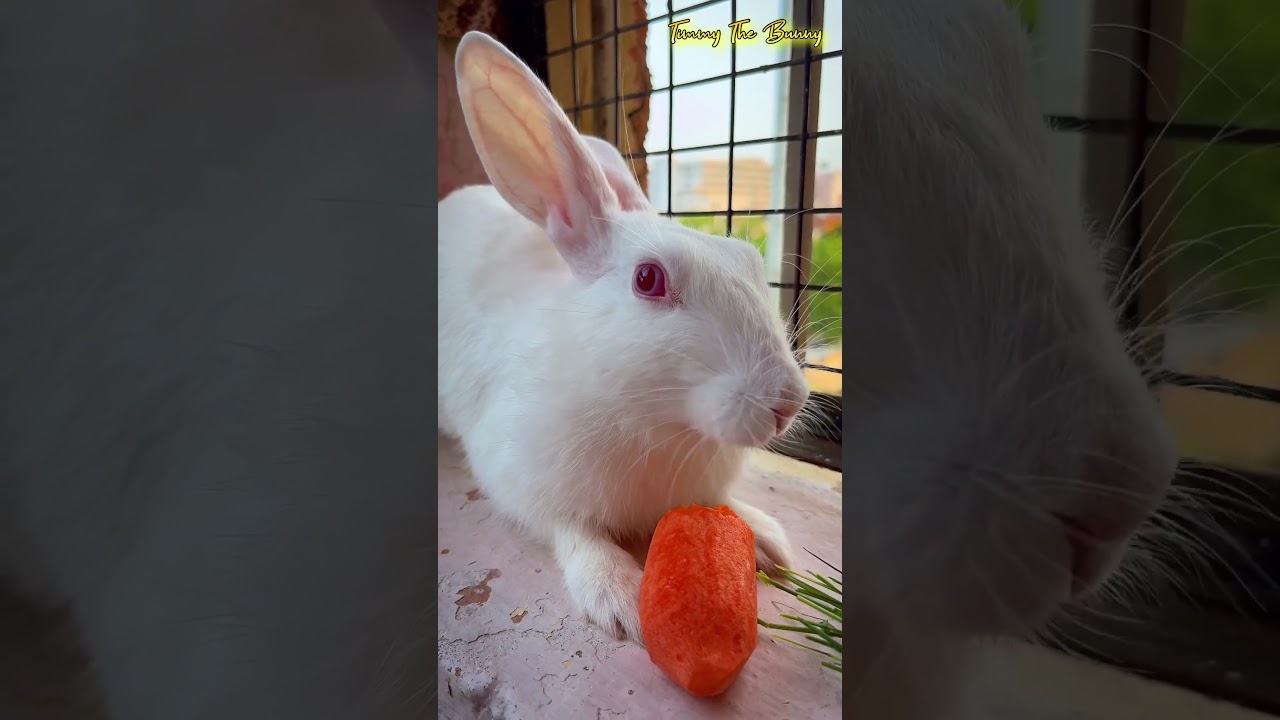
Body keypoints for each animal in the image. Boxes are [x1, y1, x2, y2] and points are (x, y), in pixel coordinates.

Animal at [438, 31, 811, 644]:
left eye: (748, 259)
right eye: (648, 279)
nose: (787, 403)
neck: (660, 422)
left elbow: (725, 503)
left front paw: (770, 539)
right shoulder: (521, 479)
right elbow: (573, 533)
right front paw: (620, 598)